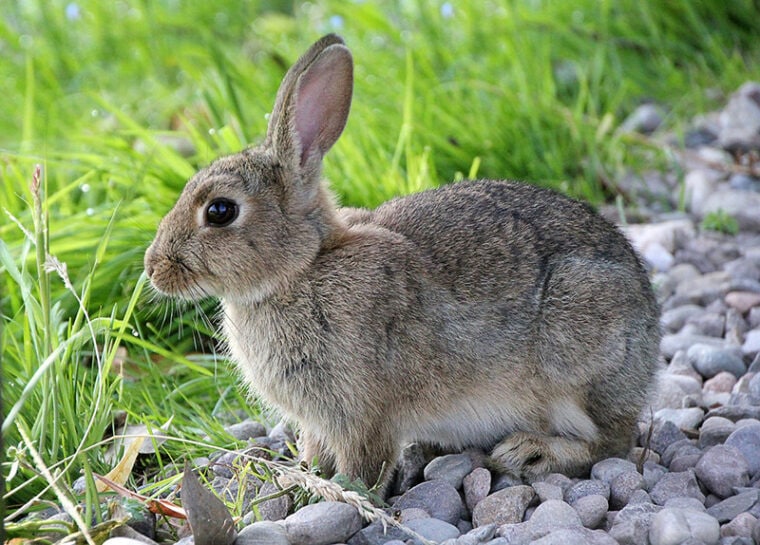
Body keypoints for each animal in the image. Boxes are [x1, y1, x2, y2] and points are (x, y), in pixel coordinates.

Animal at [144, 34, 661, 492]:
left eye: (220, 211)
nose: (153, 267)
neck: (302, 269)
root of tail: (651, 333)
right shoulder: (319, 419)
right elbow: (316, 450)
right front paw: (304, 477)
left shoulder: (362, 409)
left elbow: (364, 462)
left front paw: (339, 493)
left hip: (580, 355)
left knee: (612, 442)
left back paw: (530, 452)